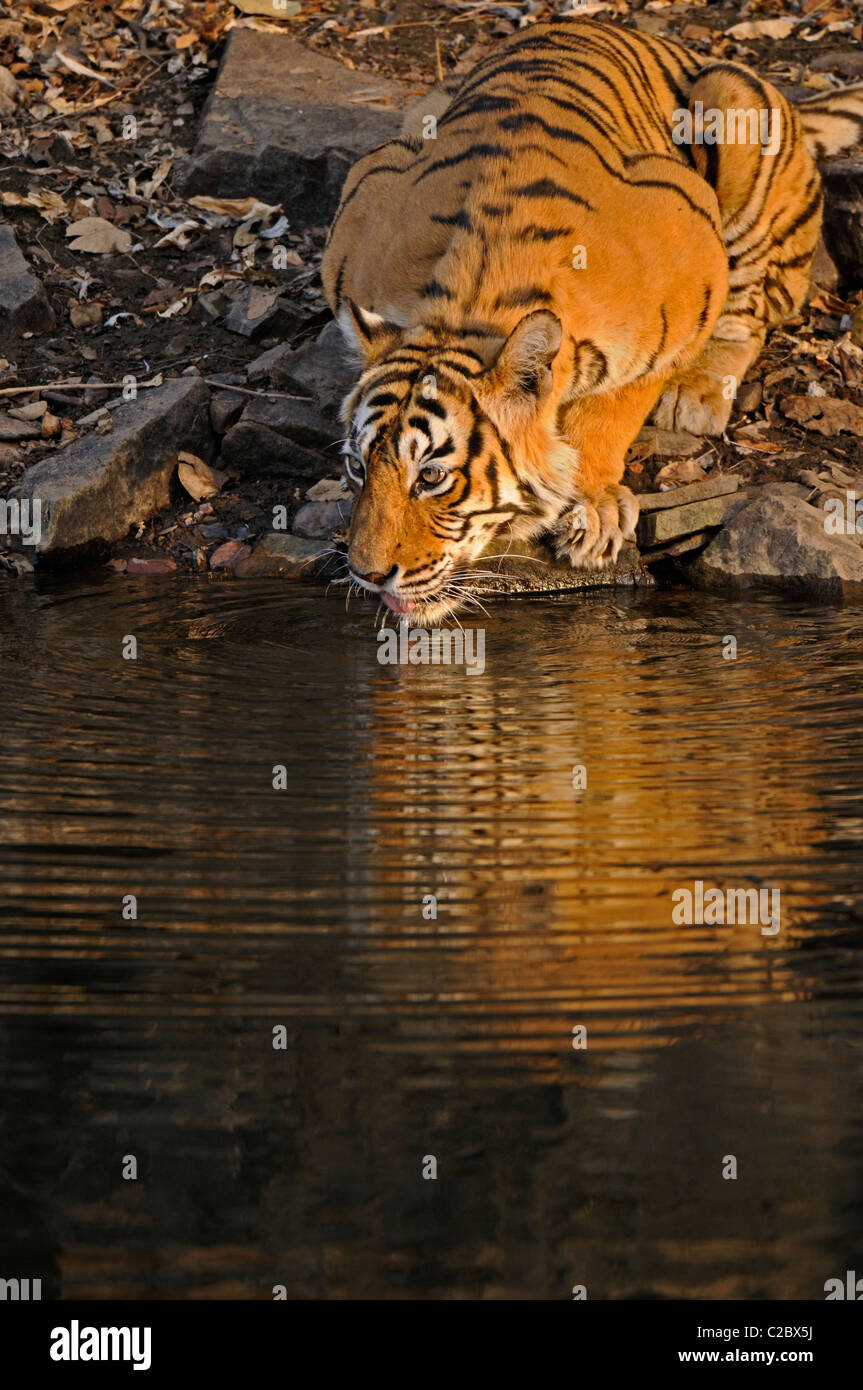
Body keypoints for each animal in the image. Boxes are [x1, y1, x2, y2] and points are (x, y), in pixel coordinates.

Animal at [321, 15, 863, 625]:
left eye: (432, 477)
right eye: (357, 467)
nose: (364, 573)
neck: (466, 306)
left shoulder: (689, 272)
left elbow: (617, 406)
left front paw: (593, 508)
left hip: (733, 106)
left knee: (752, 308)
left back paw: (697, 393)